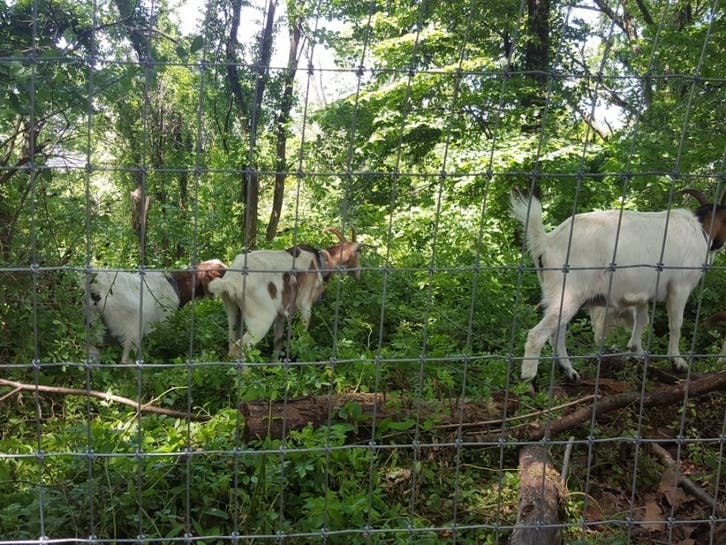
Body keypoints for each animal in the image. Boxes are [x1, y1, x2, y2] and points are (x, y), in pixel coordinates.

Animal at [208, 228, 364, 358]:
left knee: (231, 343)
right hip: (261, 317)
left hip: (232, 310)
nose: (359, 275)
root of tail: (231, 281)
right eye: (358, 253)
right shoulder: (305, 306)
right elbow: (302, 335)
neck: (321, 262)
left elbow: (277, 343)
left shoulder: (281, 314)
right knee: (239, 349)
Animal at [511, 189, 726, 383]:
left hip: (559, 293)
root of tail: (547, 241)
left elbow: (642, 319)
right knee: (538, 334)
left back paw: (570, 372)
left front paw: (637, 351)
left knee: (557, 331)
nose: (720, 244)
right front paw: (678, 362)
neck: (700, 229)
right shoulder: (680, 287)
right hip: (569, 292)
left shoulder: (643, 292)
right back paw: (528, 378)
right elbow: (676, 324)